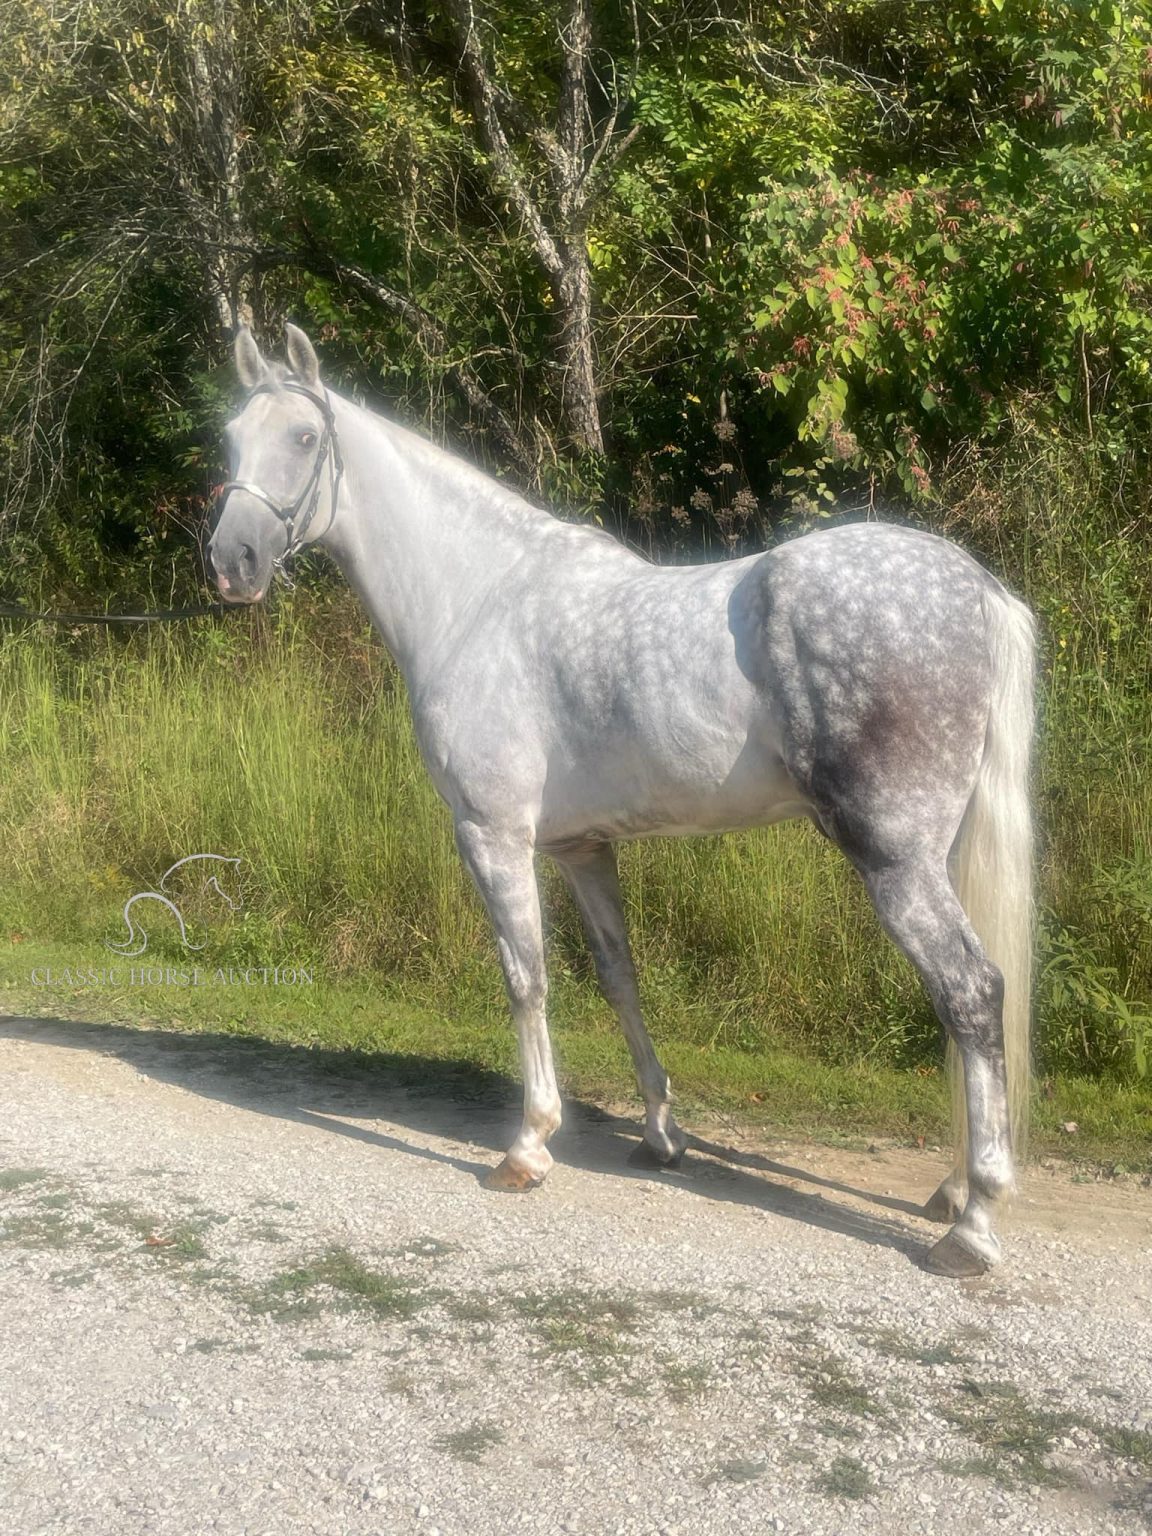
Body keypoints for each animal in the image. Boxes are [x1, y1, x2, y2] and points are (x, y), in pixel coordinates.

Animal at [208, 324, 1035, 1278]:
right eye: (230, 438)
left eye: (304, 439)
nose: (230, 564)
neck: (477, 597)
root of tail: (974, 585)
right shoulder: (580, 849)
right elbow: (619, 979)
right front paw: (660, 1135)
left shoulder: (491, 835)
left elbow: (525, 976)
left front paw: (528, 1147)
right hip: (939, 855)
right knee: (962, 1008)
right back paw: (953, 1189)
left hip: (895, 858)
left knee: (972, 994)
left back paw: (973, 1226)